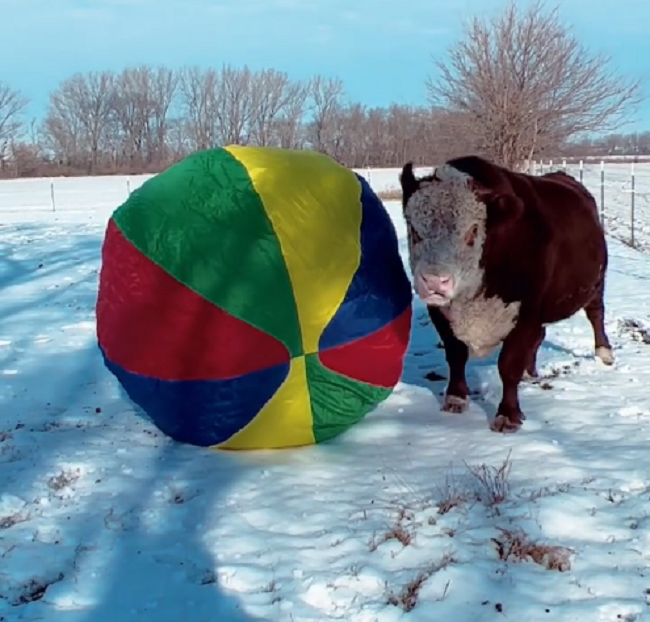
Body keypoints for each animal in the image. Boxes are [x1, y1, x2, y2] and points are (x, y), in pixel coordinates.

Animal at [399, 155, 614, 433]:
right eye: (414, 230)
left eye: (472, 232)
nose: (435, 281)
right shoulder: (439, 312)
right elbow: (456, 355)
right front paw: (456, 398)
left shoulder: (525, 312)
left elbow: (508, 365)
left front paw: (508, 414)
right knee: (540, 335)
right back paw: (530, 371)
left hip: (596, 283)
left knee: (596, 315)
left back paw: (604, 353)